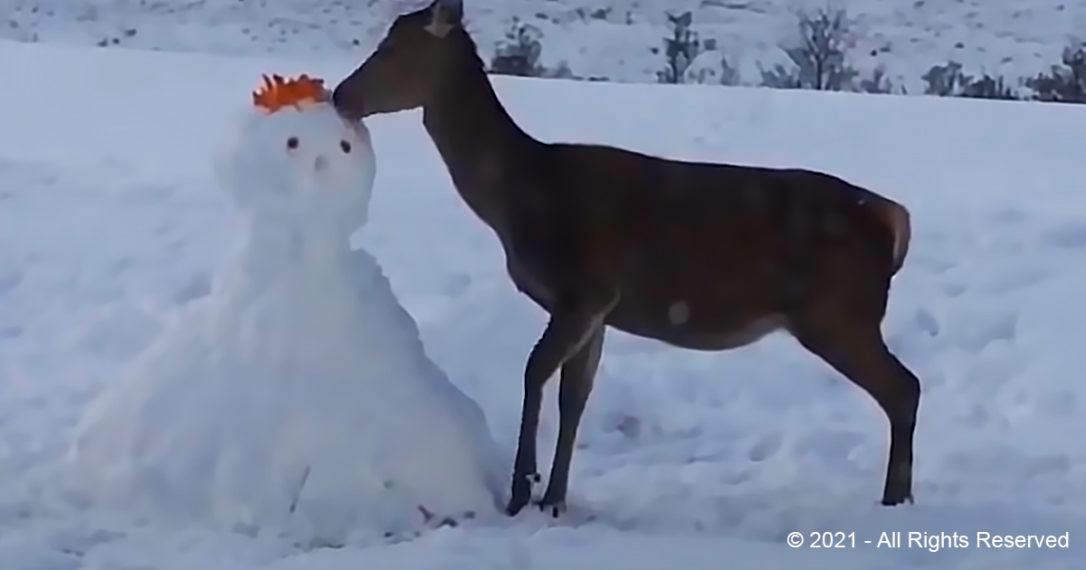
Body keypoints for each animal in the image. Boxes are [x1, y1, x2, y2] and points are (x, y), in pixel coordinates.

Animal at [331, 0, 921, 518]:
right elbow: (575, 395)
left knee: (904, 388)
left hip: (837, 314)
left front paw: (523, 490)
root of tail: (893, 220)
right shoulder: (600, 310)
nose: (340, 94)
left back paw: (895, 502)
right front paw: (554, 499)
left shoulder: (584, 288)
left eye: (393, 47)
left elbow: (535, 372)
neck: (520, 199)